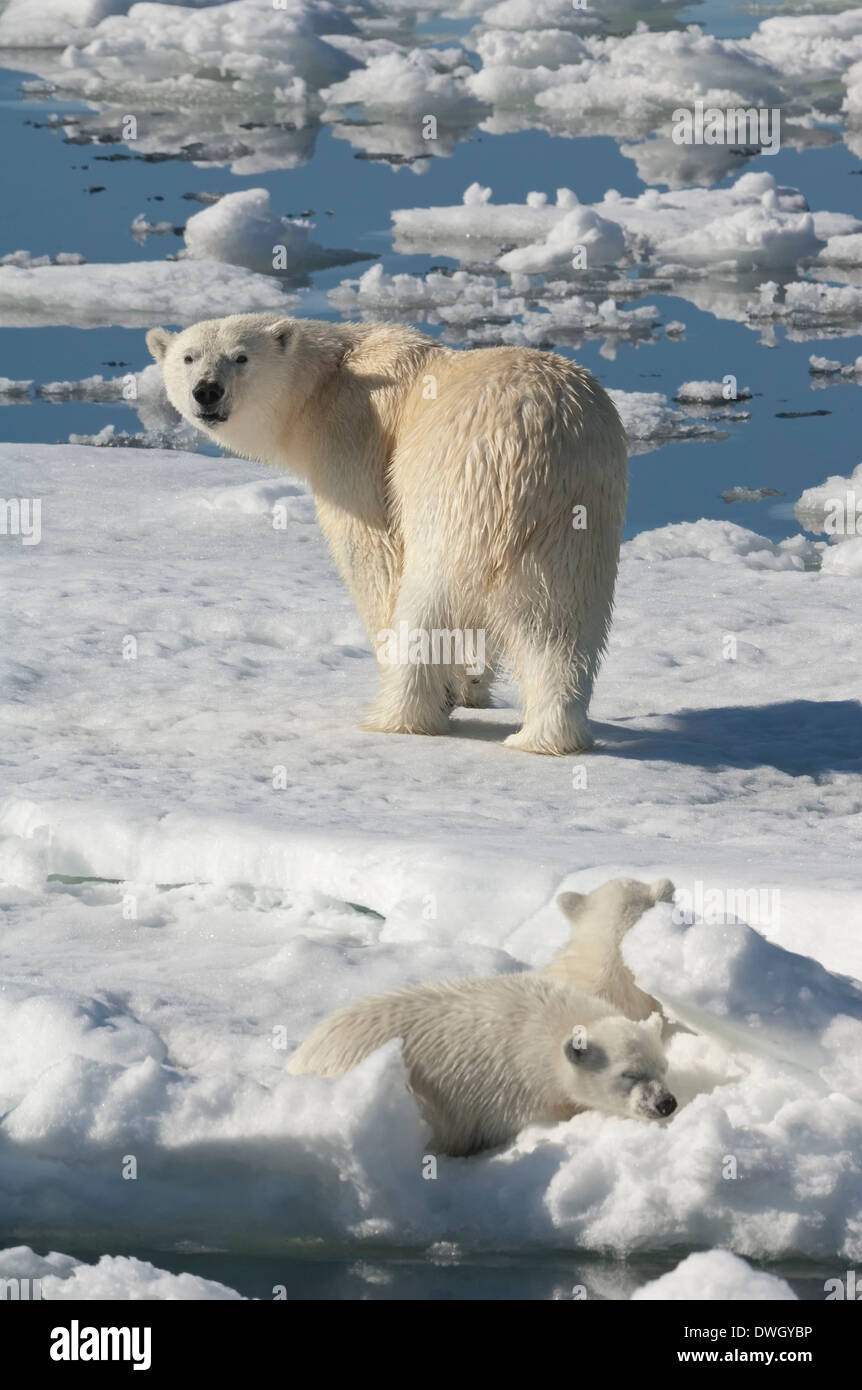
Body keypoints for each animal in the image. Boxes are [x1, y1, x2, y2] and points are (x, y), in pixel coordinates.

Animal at [146, 314, 628, 755]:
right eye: (189, 357)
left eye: (240, 357)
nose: (207, 391)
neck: (330, 378)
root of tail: (535, 440)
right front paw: (473, 685)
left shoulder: (356, 437)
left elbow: (372, 557)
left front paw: (445, 686)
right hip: (575, 517)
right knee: (559, 620)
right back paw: (544, 737)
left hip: (454, 483)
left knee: (428, 597)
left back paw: (396, 716)